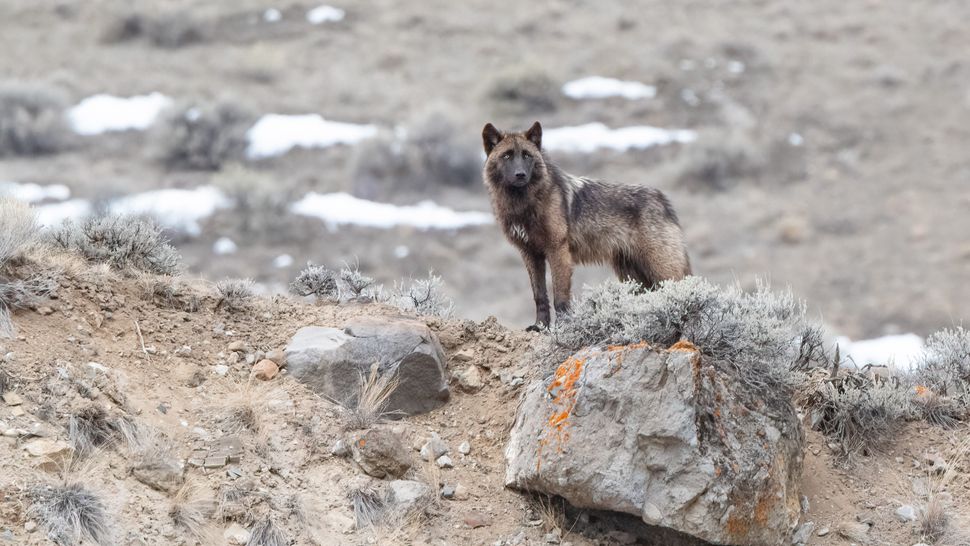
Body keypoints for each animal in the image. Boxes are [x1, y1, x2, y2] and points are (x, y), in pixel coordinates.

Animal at [482, 121, 691, 330]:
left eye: (527, 155)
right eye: (507, 155)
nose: (520, 174)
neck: (523, 204)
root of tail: (663, 200)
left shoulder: (558, 251)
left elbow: (560, 297)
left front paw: (563, 327)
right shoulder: (530, 254)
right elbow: (539, 295)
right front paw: (540, 326)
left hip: (661, 268)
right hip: (632, 274)